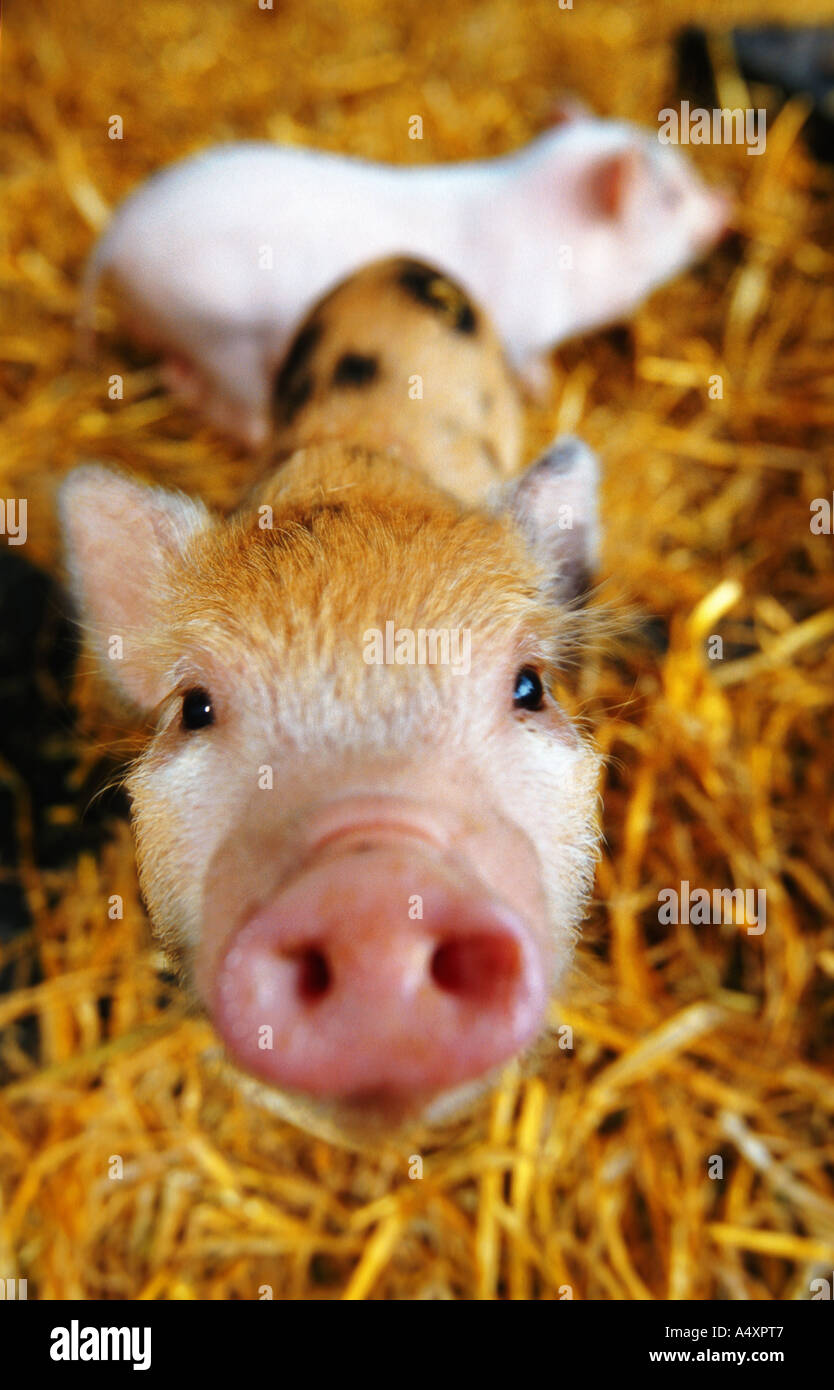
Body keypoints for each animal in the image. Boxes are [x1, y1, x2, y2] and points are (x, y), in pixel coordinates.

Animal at [79, 116, 729, 447]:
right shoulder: (522, 329)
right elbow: (528, 365)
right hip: (221, 332)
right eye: (671, 199)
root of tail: (123, 226)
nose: (727, 208)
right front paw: (544, 393)